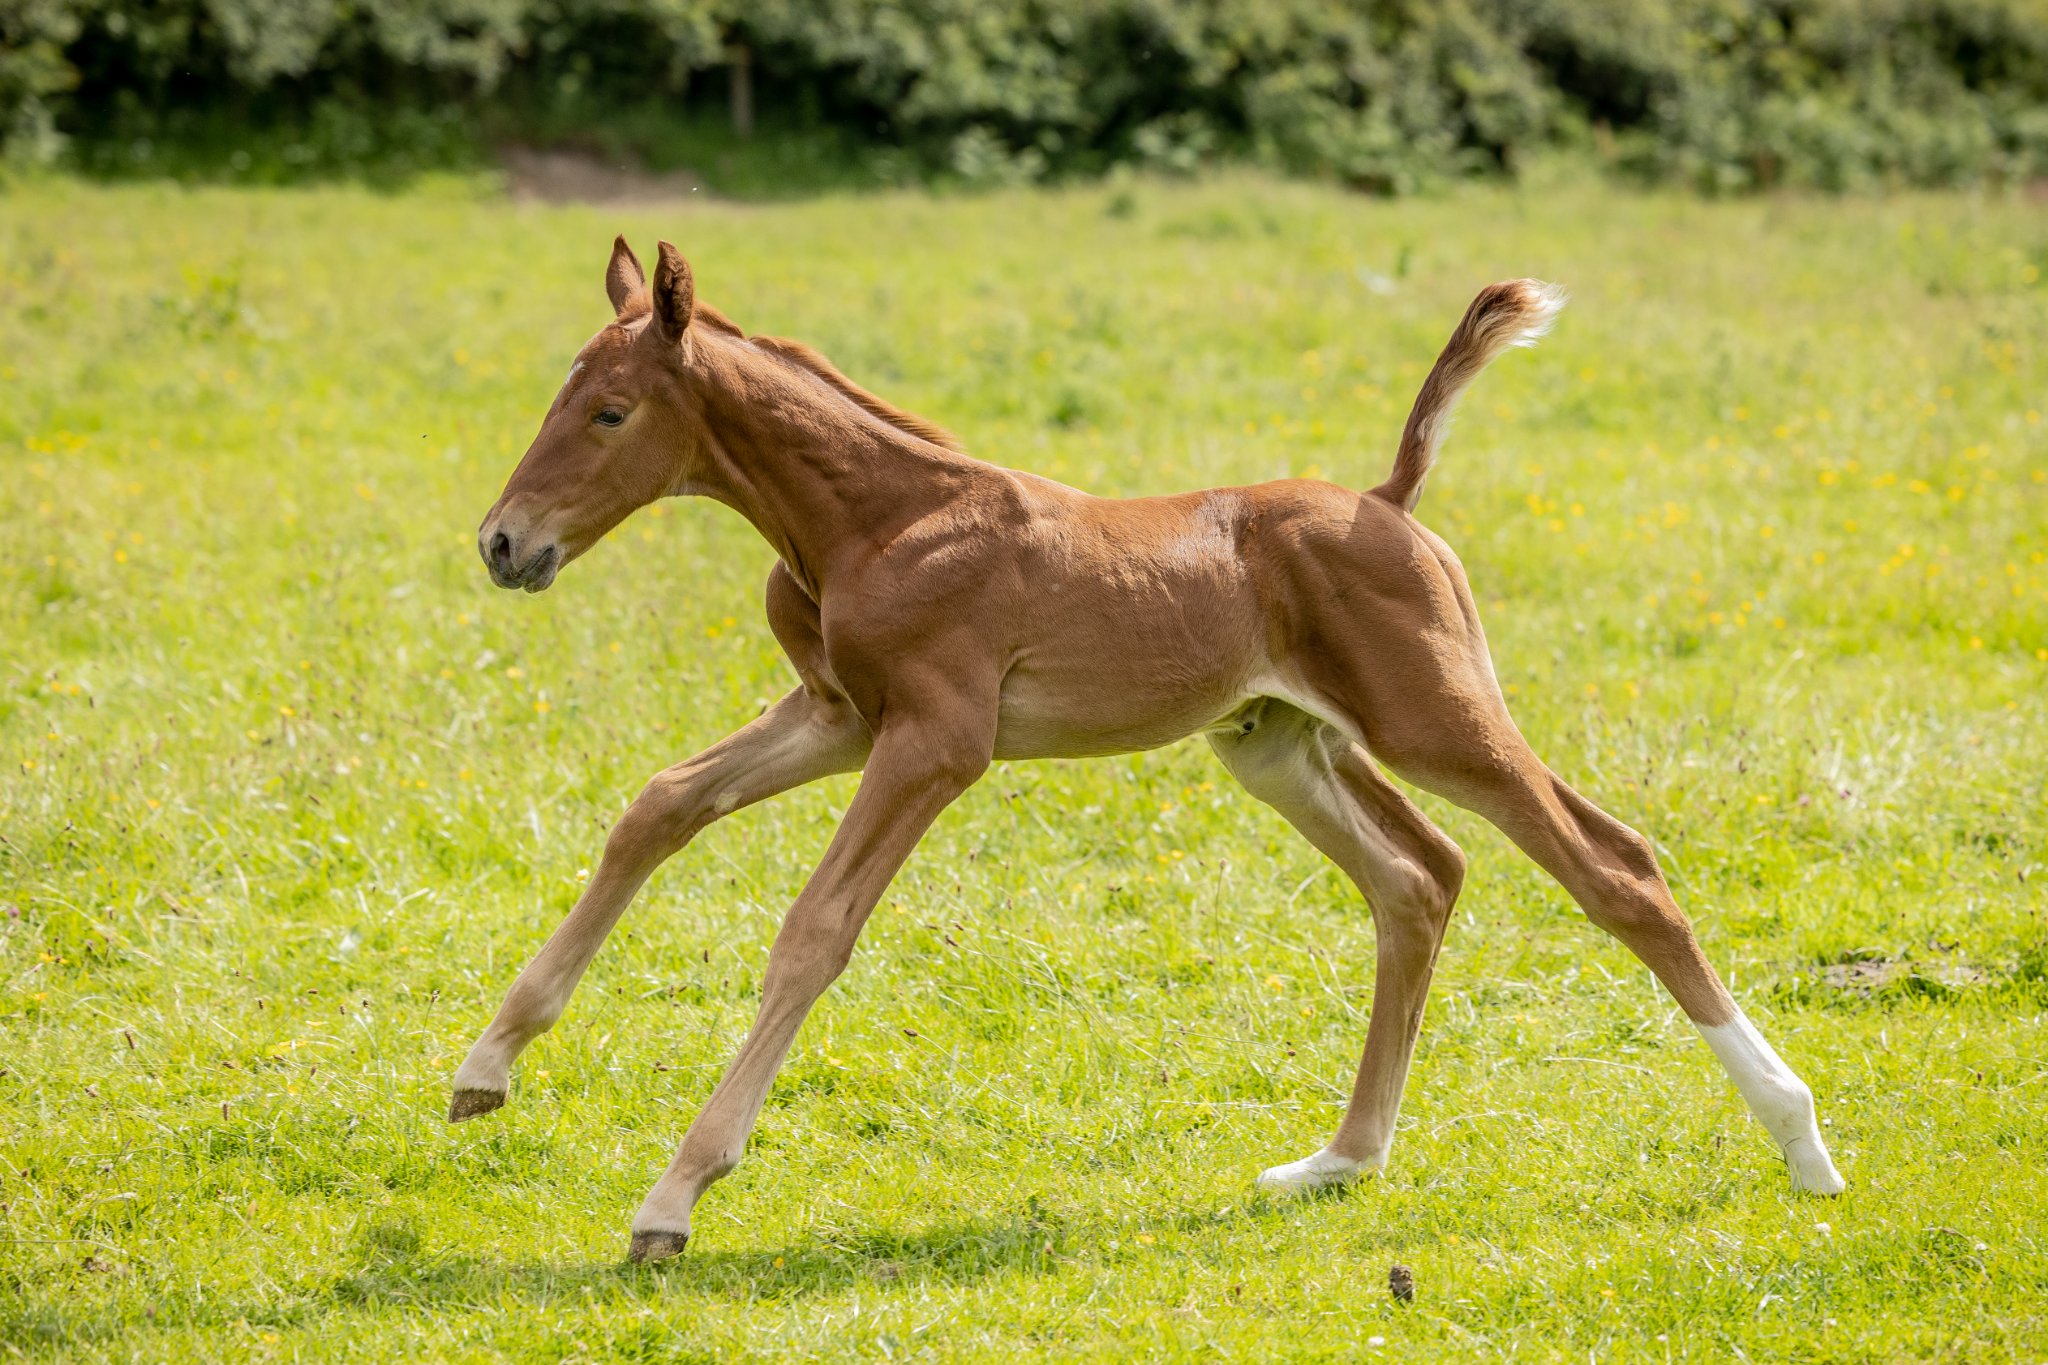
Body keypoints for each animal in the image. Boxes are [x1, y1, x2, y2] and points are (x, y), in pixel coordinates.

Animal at [453, 237, 1843, 1262]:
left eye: (609, 411)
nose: (504, 544)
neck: (874, 518)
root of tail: (1387, 502)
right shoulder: (837, 716)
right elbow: (658, 806)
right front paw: (484, 1070)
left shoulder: (935, 742)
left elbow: (812, 933)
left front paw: (672, 1200)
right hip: (1276, 745)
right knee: (1419, 877)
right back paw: (1339, 1160)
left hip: (1433, 719)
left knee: (1616, 870)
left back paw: (1802, 1144)